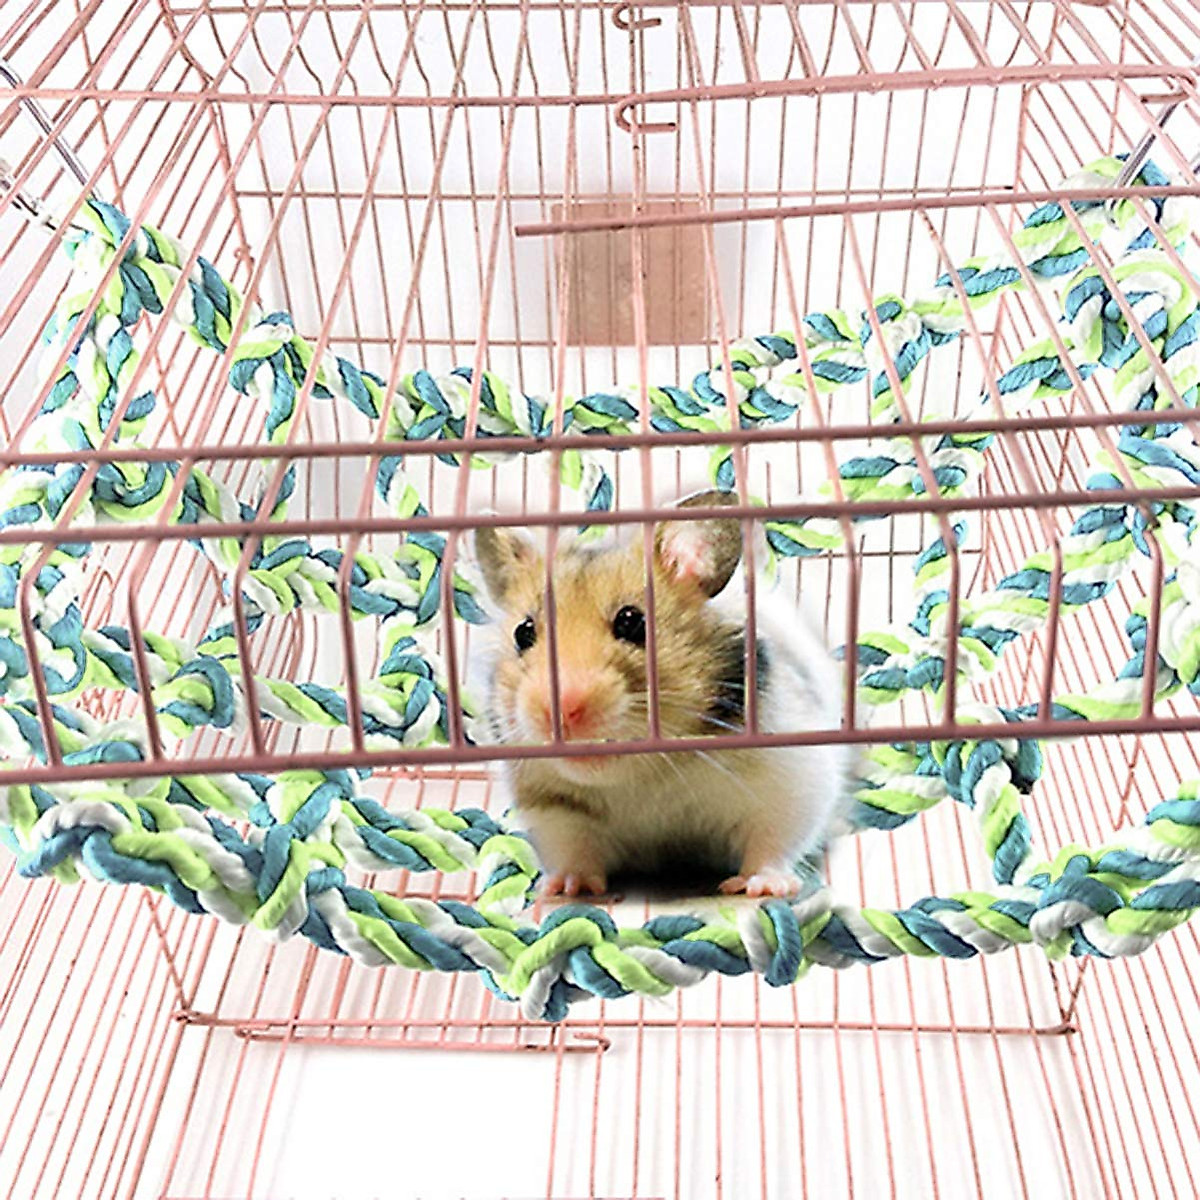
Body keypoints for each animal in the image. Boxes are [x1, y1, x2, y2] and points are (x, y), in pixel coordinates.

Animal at [472, 489, 852, 899]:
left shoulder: (792, 778)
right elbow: (574, 849)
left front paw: (760, 887)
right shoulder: (553, 809)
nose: (558, 711)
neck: (646, 774)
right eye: (523, 633)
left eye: (632, 621)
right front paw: (565, 888)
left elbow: (772, 840)